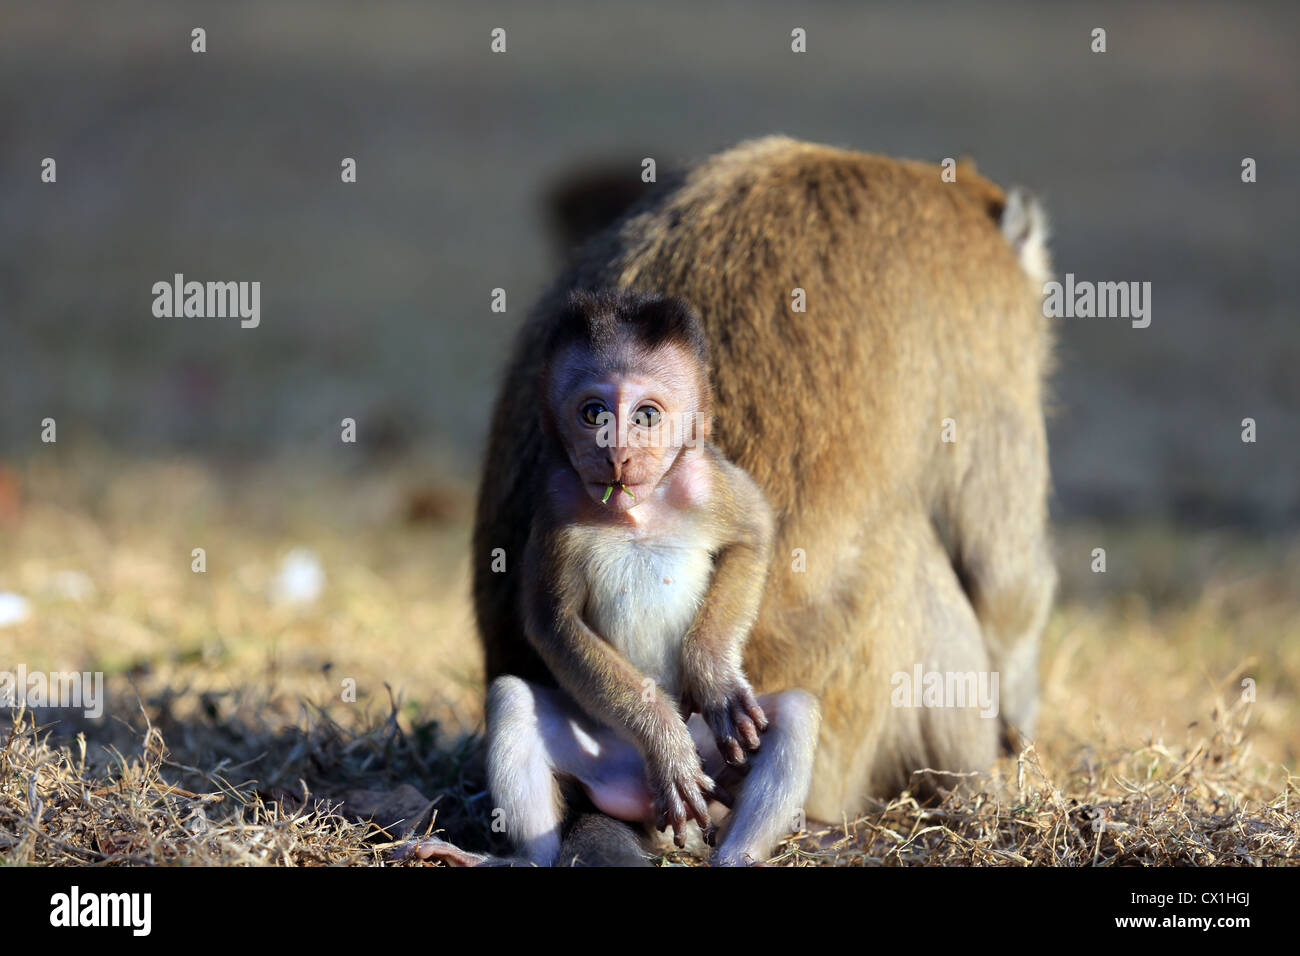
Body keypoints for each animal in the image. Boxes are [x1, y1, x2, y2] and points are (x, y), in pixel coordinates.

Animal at [472, 135, 1056, 857]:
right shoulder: (990, 327)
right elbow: (1005, 583)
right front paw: (1018, 737)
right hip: (843, 740)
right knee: (909, 550)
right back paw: (974, 790)